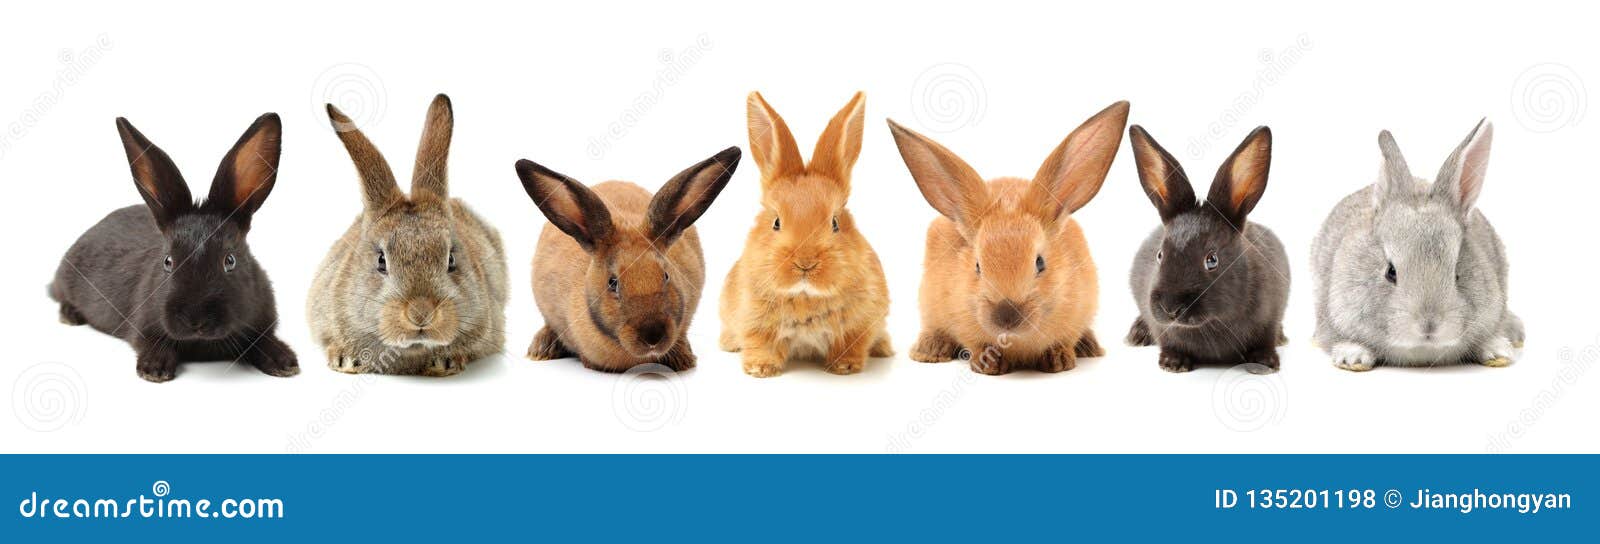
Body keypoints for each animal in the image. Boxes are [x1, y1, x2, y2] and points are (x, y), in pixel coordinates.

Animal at [49, 114, 298, 382]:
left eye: (230, 260)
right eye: (168, 262)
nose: (195, 320)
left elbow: (262, 341)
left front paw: (284, 362)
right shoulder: (143, 327)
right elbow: (155, 343)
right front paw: (154, 369)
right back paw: (70, 316)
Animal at [718, 92, 892, 378]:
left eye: (835, 222)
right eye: (776, 222)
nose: (805, 263)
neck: (805, 295)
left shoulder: (859, 324)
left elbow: (851, 344)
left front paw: (844, 367)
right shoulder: (754, 322)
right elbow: (760, 343)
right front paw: (760, 369)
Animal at [889, 101, 1129, 375]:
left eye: (1040, 263)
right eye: (978, 266)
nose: (1007, 317)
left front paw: (1058, 360)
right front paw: (988, 365)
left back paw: (1089, 347)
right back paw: (929, 350)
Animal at [1124, 125, 1290, 374]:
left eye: (1212, 260)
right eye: (1160, 255)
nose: (1171, 308)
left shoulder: (1270, 315)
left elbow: (1265, 340)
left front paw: (1264, 363)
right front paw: (1173, 363)